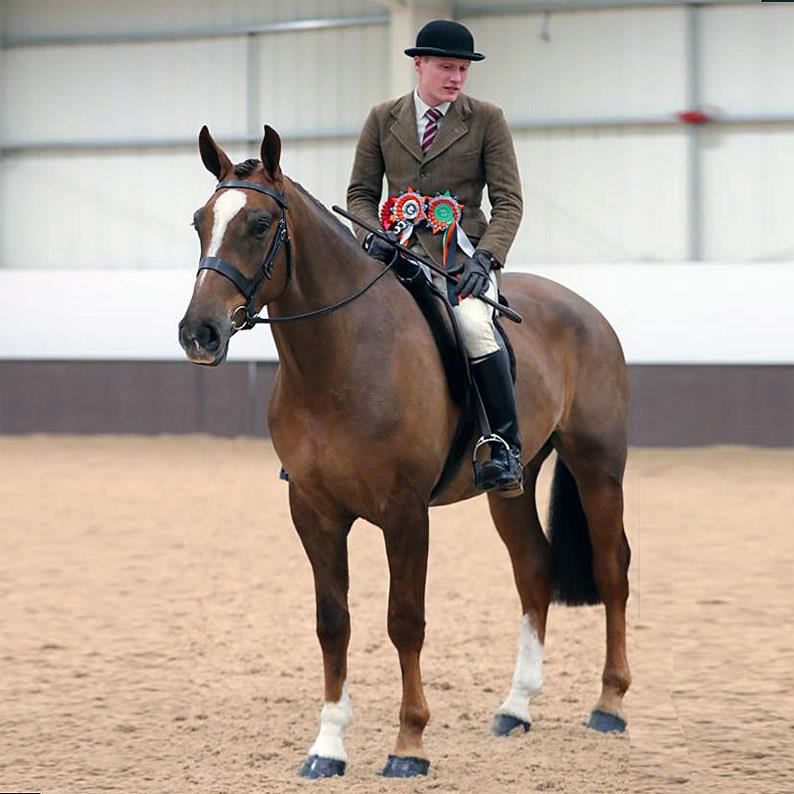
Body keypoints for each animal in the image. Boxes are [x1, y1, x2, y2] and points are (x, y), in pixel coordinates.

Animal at [178, 125, 632, 779]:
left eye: (260, 224)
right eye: (200, 222)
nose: (199, 333)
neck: (339, 357)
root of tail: (585, 310)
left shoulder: (404, 511)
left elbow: (405, 620)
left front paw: (409, 744)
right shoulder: (313, 512)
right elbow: (333, 623)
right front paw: (328, 746)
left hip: (598, 467)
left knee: (611, 569)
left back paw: (610, 704)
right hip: (511, 486)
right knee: (534, 569)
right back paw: (515, 708)